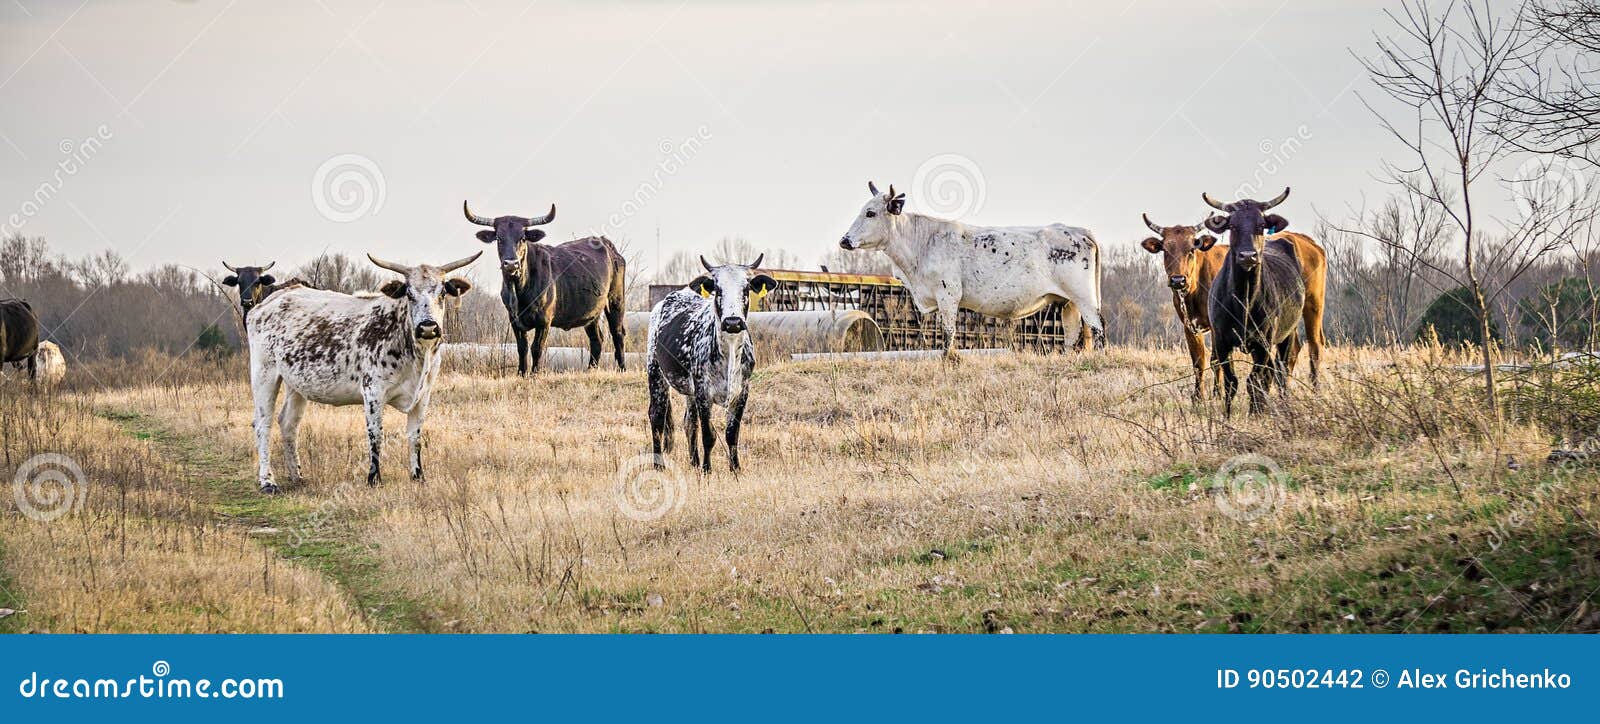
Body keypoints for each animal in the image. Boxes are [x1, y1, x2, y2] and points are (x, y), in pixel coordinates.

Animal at [245, 251, 480, 494]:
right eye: (409, 294)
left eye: (442, 293)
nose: (428, 327)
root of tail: (266, 303)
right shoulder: (373, 391)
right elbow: (376, 435)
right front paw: (374, 478)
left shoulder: (423, 395)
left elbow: (415, 436)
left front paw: (418, 477)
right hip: (264, 373)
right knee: (263, 424)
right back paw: (267, 481)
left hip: (297, 384)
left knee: (288, 423)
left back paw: (297, 476)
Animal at [463, 201, 628, 375]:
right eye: (499, 239)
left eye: (522, 238)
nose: (511, 264)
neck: (519, 289)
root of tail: (606, 243)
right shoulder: (514, 320)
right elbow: (522, 348)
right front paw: (521, 373)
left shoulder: (544, 320)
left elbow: (536, 348)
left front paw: (535, 373)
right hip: (592, 312)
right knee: (597, 339)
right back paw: (590, 370)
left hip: (616, 301)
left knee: (618, 334)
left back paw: (622, 368)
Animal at [647, 255, 777, 472]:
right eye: (717, 288)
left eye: (746, 288)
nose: (732, 322)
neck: (729, 353)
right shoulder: (703, 392)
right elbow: (709, 435)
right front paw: (707, 470)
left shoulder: (742, 392)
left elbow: (732, 434)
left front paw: (735, 469)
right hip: (656, 373)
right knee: (657, 416)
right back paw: (658, 465)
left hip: (689, 391)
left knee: (689, 422)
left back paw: (693, 462)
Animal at [838, 182, 1102, 360]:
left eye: (870, 213)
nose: (844, 240)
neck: (922, 243)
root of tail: (1075, 230)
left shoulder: (948, 294)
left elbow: (948, 331)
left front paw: (947, 358)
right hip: (1067, 302)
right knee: (1072, 333)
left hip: (1084, 298)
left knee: (1097, 328)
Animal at [1203, 195, 1328, 389]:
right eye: (1232, 225)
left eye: (1261, 225)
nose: (1248, 256)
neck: (1244, 298)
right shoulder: (1222, 341)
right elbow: (1231, 381)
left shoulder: (1262, 343)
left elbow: (1254, 382)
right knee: (1285, 361)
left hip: (1313, 307)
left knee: (1310, 350)